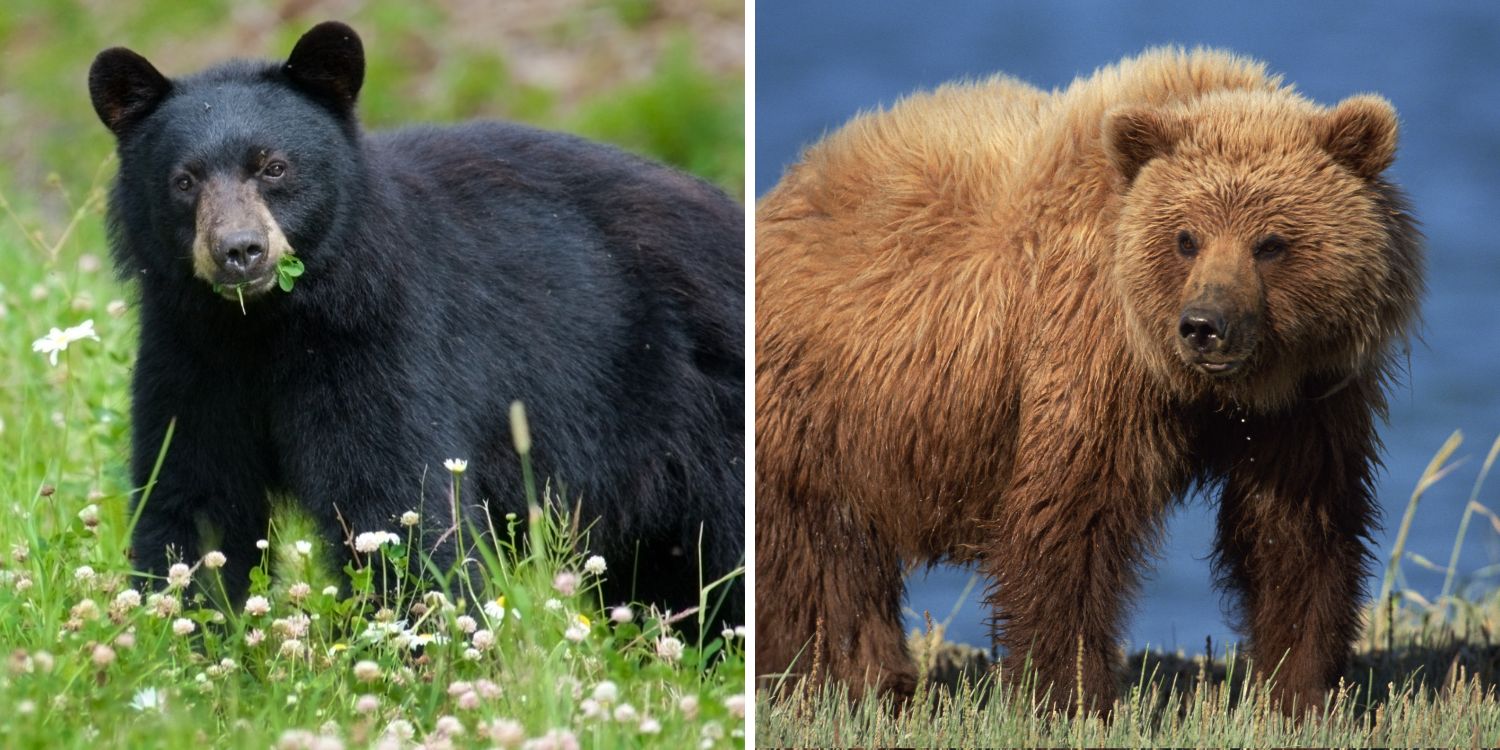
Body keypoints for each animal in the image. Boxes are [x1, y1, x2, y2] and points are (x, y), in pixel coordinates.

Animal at [88, 21, 745, 626]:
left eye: (273, 167)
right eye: (184, 180)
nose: (240, 251)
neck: (267, 327)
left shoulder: (384, 339)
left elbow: (395, 498)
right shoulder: (189, 351)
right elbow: (193, 496)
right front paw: (179, 635)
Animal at [755, 47, 1421, 714]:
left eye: (1271, 242)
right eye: (1186, 237)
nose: (1205, 326)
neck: (1205, 390)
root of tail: (780, 194)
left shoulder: (1310, 394)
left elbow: (1297, 528)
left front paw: (1302, 691)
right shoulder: (1091, 352)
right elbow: (1072, 520)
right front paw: (1072, 695)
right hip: (821, 409)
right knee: (814, 563)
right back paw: (834, 681)